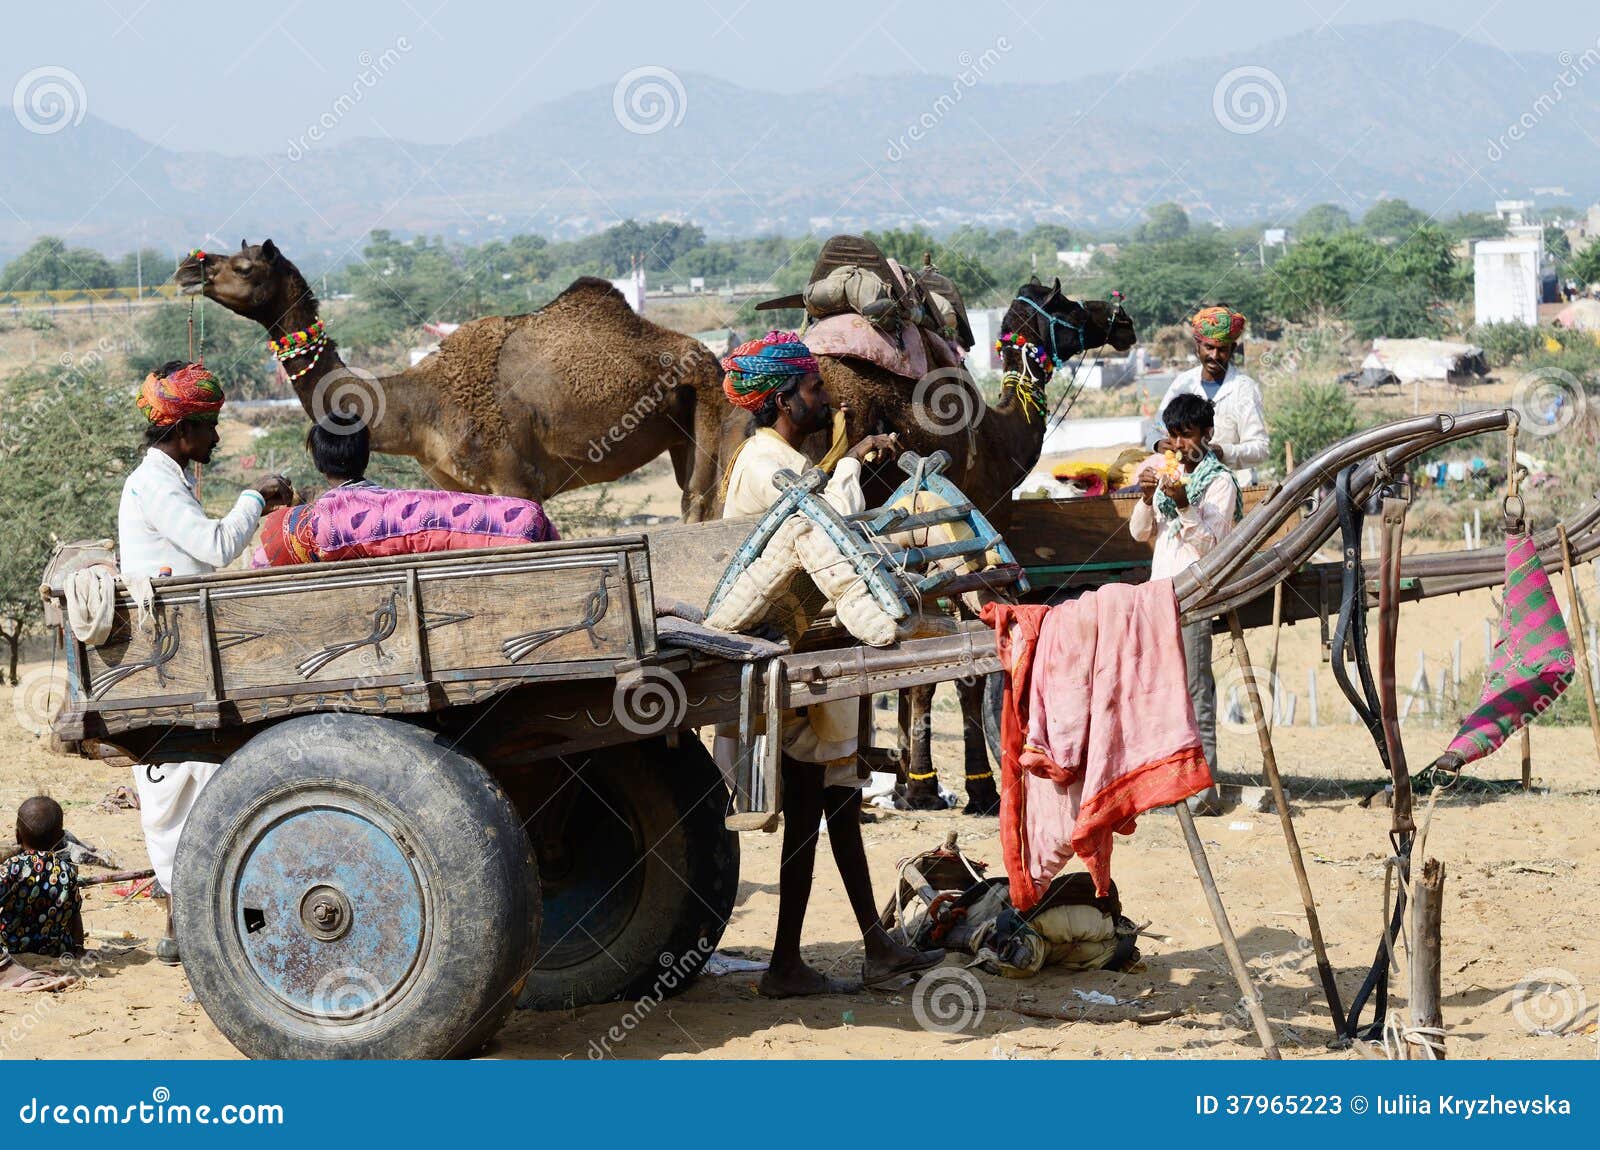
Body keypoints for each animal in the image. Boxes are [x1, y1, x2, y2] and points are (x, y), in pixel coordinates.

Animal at [175, 242, 731, 521]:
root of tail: (708, 354)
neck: (418, 407)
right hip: (680, 429)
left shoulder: (517, 479)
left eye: (244, 266)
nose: (187, 268)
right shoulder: (461, 483)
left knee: (699, 503)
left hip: (710, 404)